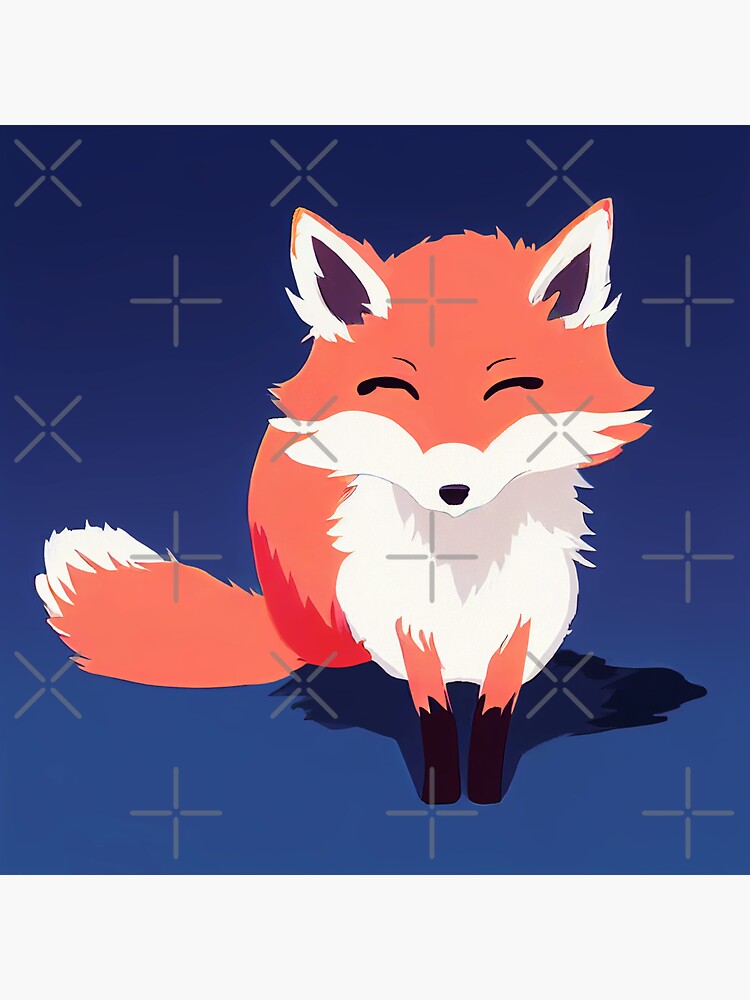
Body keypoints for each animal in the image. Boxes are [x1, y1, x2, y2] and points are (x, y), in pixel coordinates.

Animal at [35, 198, 652, 804]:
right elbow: (432, 714)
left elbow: (494, 718)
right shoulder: (406, 622)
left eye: (511, 388)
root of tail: (291, 627)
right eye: (394, 390)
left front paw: (483, 791)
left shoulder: (523, 620)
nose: (453, 491)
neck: (462, 563)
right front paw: (440, 790)